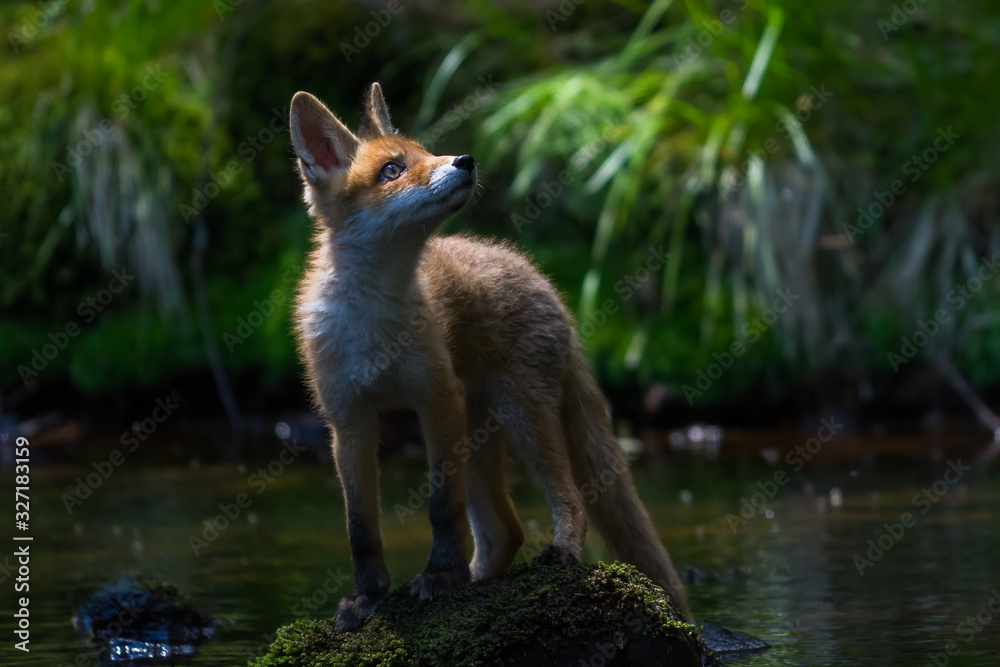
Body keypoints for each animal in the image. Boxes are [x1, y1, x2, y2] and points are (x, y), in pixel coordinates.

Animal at [288, 83, 691, 631]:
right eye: (392, 169)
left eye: (425, 152)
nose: (465, 160)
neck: (374, 326)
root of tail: (542, 280)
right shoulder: (349, 421)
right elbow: (360, 529)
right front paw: (368, 597)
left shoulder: (436, 399)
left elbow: (441, 509)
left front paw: (441, 575)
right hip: (479, 431)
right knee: (506, 530)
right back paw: (480, 581)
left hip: (520, 413)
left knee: (565, 499)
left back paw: (559, 553)